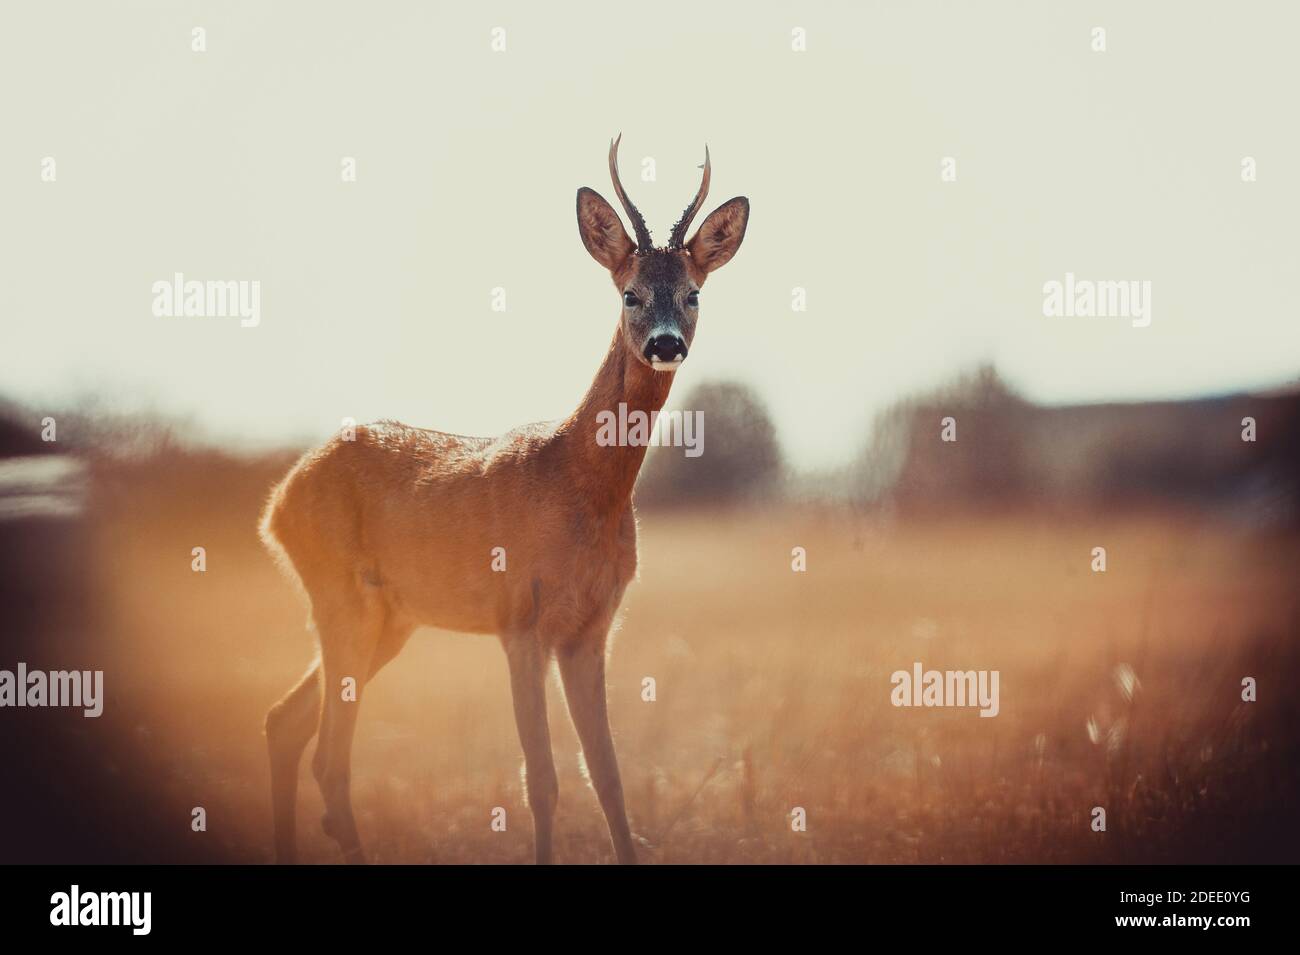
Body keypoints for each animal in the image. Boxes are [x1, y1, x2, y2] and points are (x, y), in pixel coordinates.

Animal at [260, 135, 749, 865]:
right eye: (629, 294)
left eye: (693, 293)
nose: (666, 343)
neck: (583, 486)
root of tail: (277, 503)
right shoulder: (521, 619)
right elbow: (540, 779)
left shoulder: (590, 630)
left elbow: (609, 776)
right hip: (341, 600)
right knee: (327, 754)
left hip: (389, 618)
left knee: (284, 722)